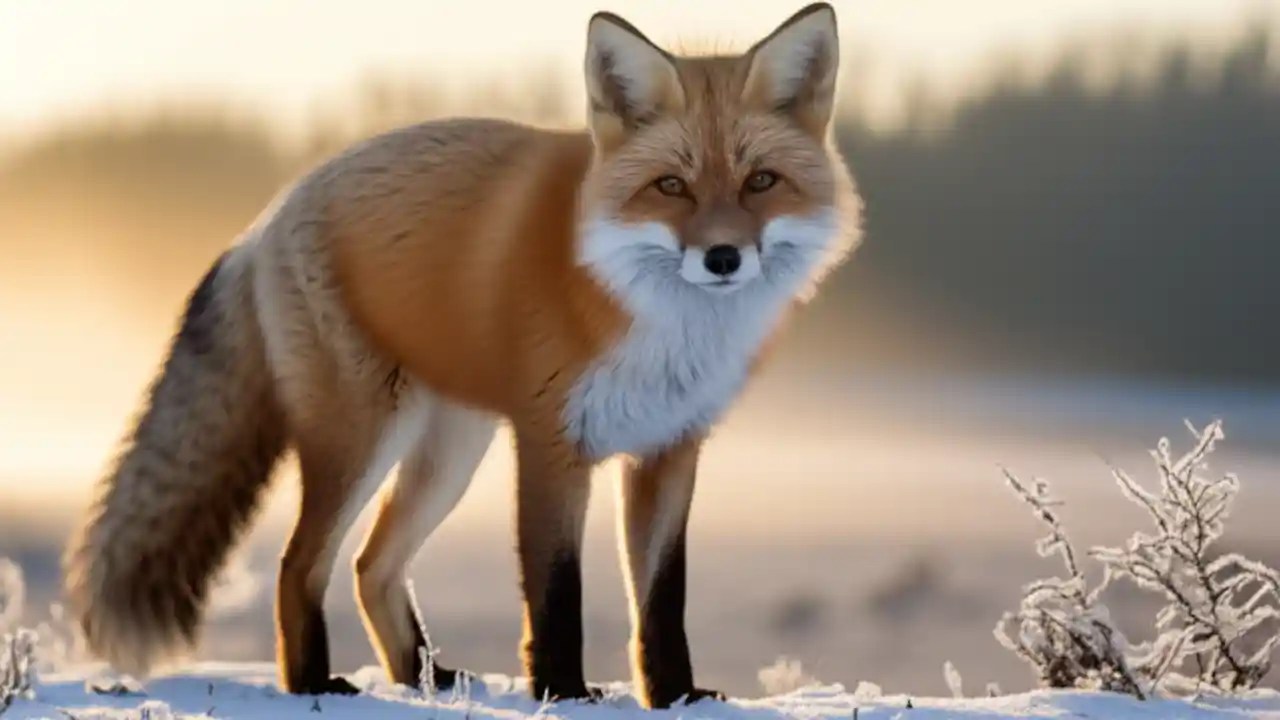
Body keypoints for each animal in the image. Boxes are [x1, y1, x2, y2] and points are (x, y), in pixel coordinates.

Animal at [63, 2, 861, 710]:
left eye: (761, 182)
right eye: (671, 186)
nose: (723, 258)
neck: (660, 325)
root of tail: (267, 217)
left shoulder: (670, 449)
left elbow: (663, 602)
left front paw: (676, 696)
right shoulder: (551, 443)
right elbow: (556, 591)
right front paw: (563, 692)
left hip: (450, 453)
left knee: (371, 565)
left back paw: (425, 677)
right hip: (361, 439)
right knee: (301, 563)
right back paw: (312, 683)